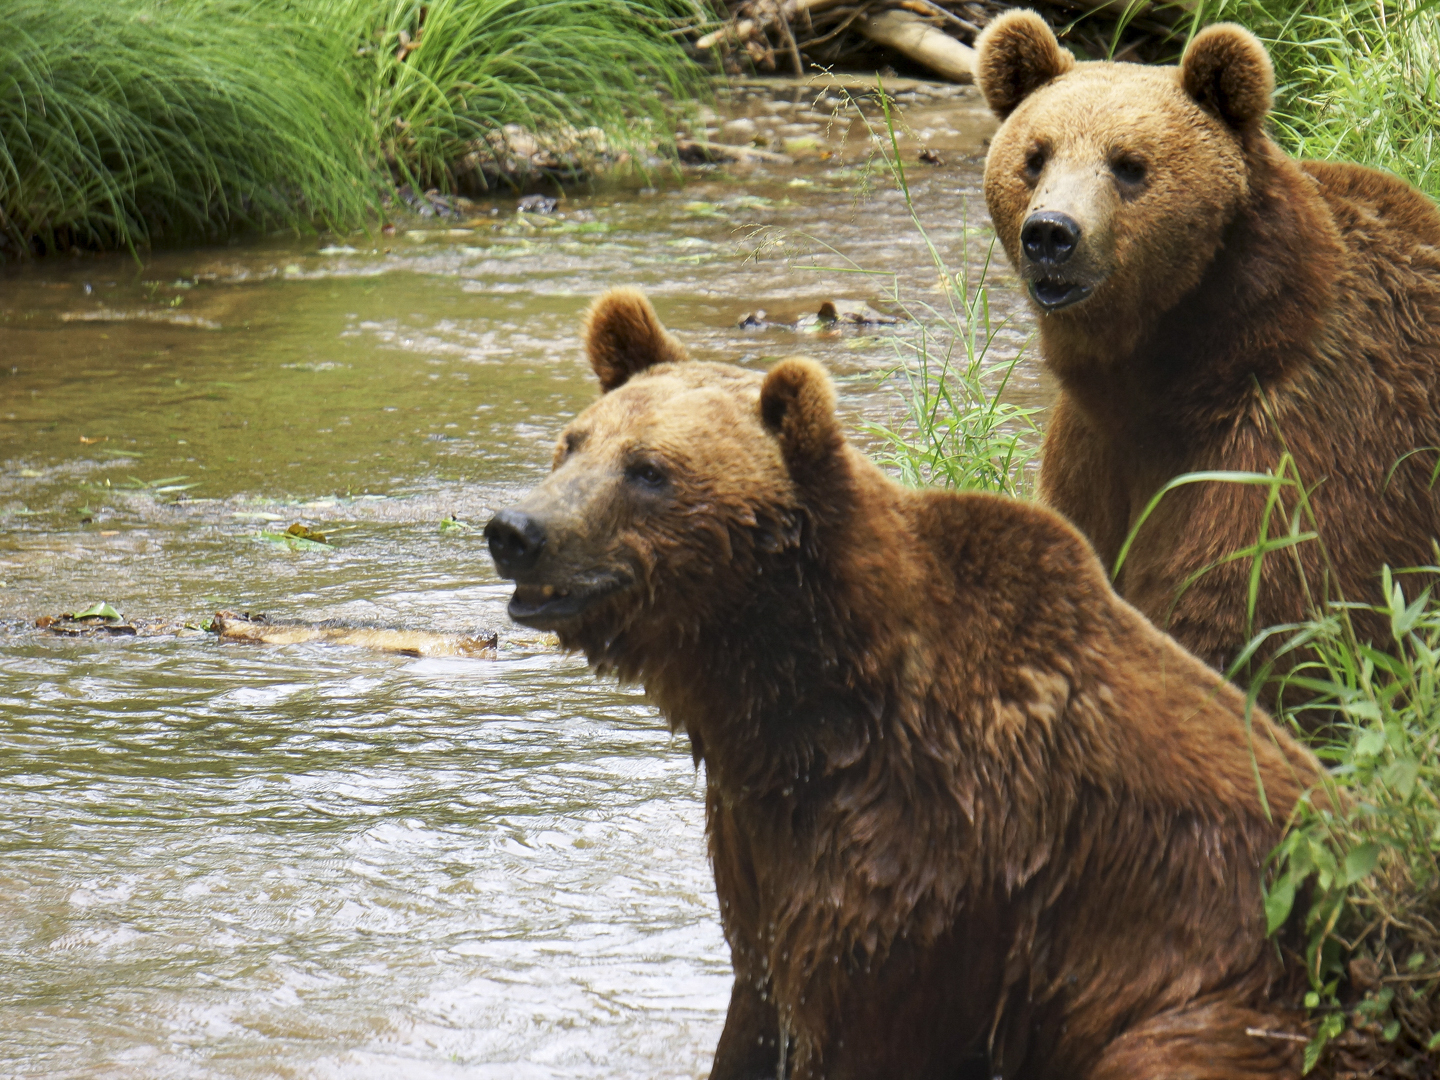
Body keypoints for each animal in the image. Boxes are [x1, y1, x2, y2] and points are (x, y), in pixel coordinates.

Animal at [484, 287, 1325, 1079]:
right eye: (572, 444)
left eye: (649, 470)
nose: (515, 529)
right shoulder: (762, 850)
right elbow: (755, 1004)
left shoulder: (931, 855)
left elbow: (865, 1014)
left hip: (1232, 996)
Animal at [974, 11, 1440, 685]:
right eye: (1034, 157)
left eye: (1129, 164)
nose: (1051, 233)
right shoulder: (1089, 453)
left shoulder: (1296, 437)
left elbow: (1246, 610)